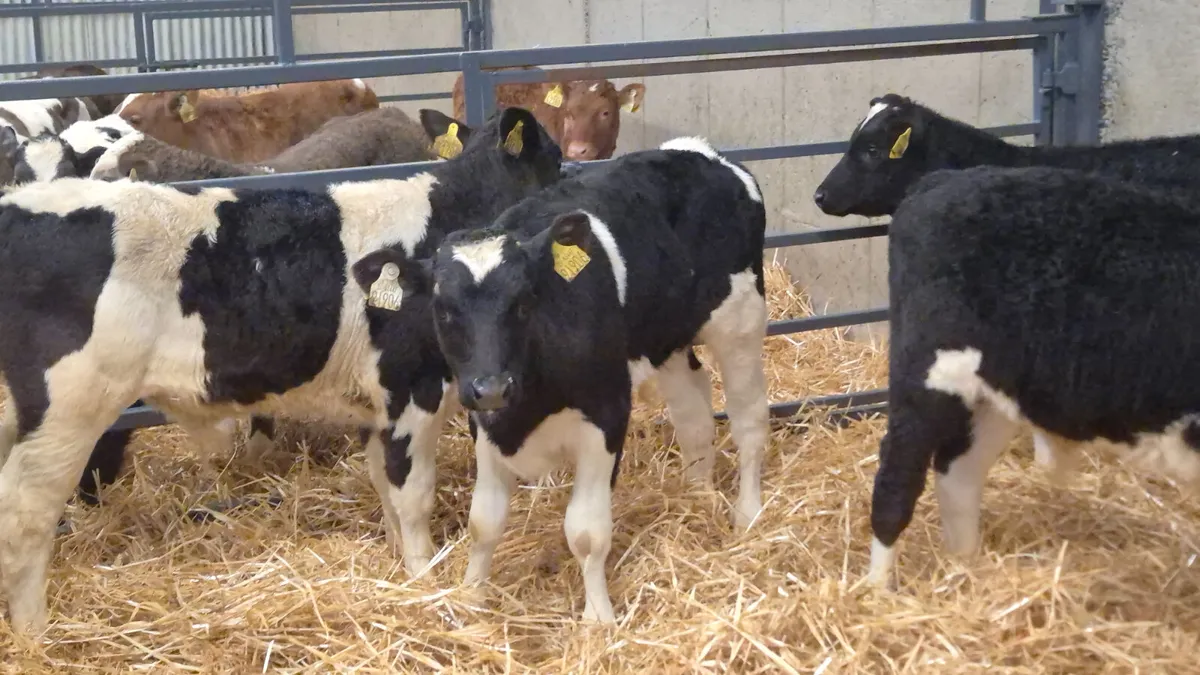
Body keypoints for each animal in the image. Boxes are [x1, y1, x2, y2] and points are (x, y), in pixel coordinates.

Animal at [0, 106, 563, 635]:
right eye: (554, 159)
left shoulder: (377, 406)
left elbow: (384, 489)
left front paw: (398, 570)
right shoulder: (412, 389)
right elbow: (413, 496)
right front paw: (425, 582)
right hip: (66, 411)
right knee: (25, 521)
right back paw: (35, 636)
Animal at [407, 135, 768, 624]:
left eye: (524, 301)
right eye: (443, 310)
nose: (493, 386)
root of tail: (701, 151)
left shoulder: (607, 415)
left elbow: (586, 532)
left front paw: (598, 619)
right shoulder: (484, 421)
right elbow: (484, 522)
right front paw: (470, 596)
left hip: (741, 324)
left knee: (749, 421)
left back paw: (747, 512)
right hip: (665, 339)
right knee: (693, 410)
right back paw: (698, 495)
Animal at [869, 164, 1200, 588]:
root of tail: (943, 179)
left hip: (994, 393)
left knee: (959, 471)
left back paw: (967, 565)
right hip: (928, 371)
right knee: (897, 478)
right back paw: (876, 588)